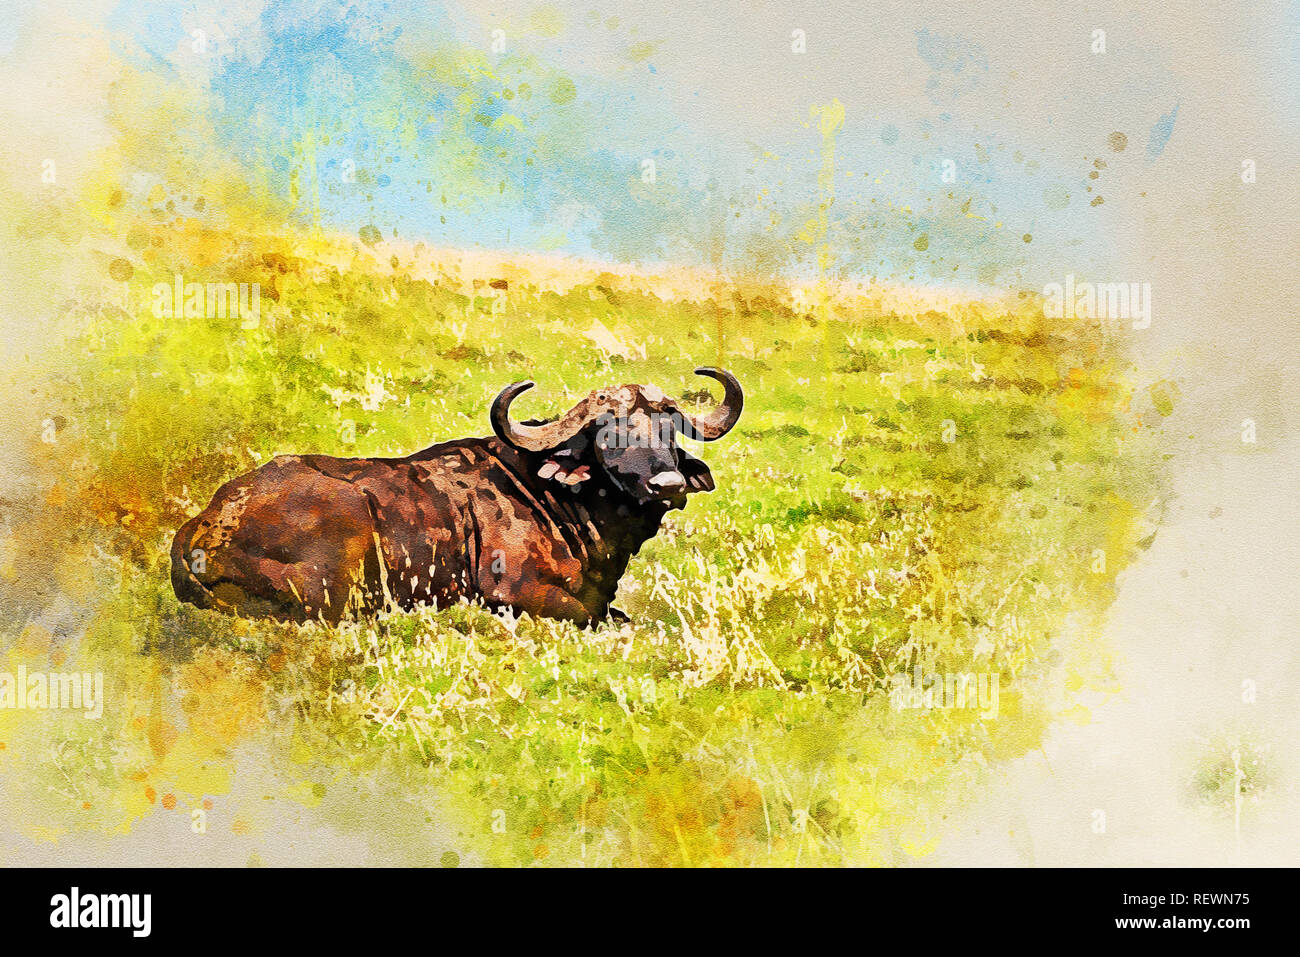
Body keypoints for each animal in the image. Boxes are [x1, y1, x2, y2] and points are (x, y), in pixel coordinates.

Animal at [170, 368, 743, 625]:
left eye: (668, 430)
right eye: (610, 433)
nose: (667, 486)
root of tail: (202, 526)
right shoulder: (513, 593)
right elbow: (590, 616)